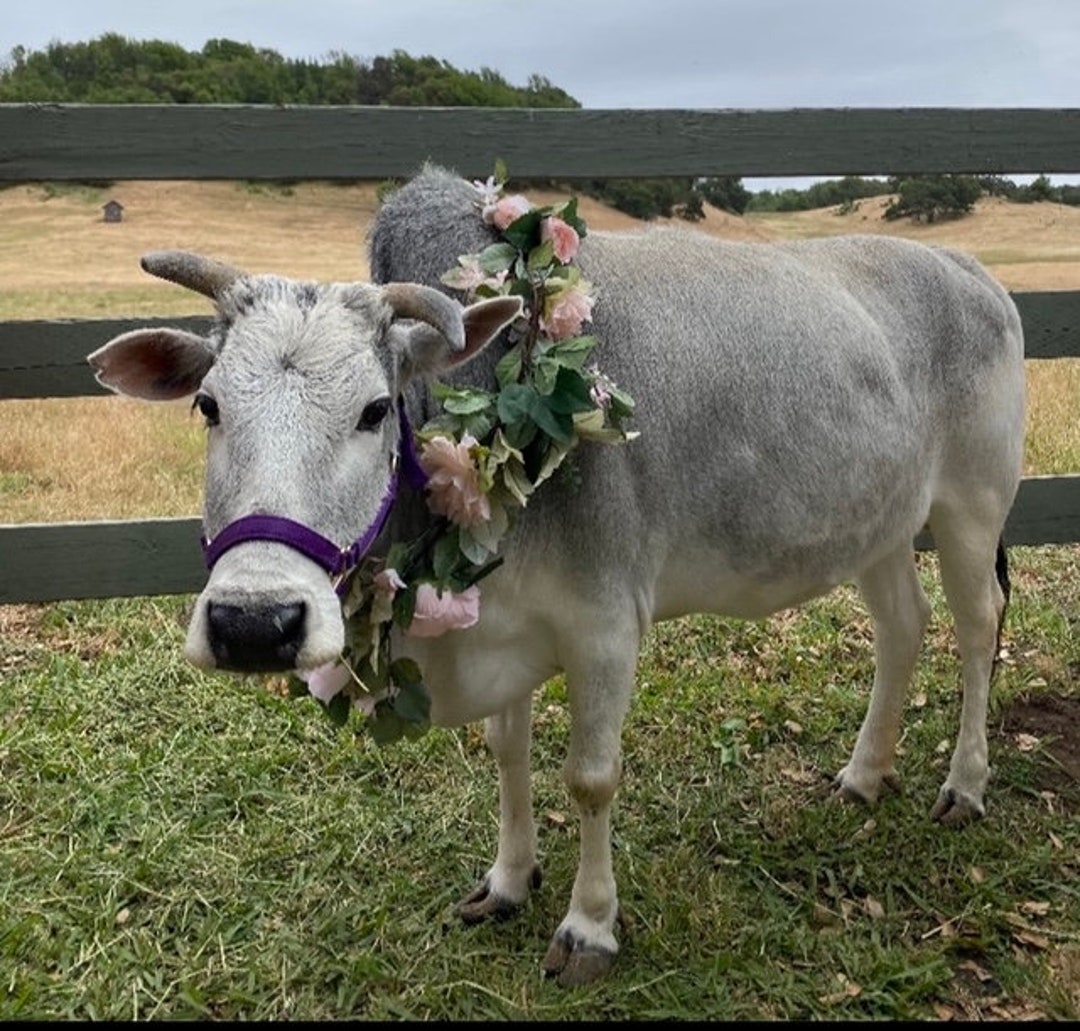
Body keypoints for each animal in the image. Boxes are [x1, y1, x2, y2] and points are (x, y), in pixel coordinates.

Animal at [87, 164, 1026, 987]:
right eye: (209, 404)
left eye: (374, 409)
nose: (254, 623)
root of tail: (970, 270)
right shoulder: (494, 616)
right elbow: (507, 751)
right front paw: (508, 880)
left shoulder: (606, 627)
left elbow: (589, 777)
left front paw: (589, 925)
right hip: (879, 526)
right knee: (902, 629)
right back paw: (863, 775)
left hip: (972, 507)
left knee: (978, 627)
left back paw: (966, 783)